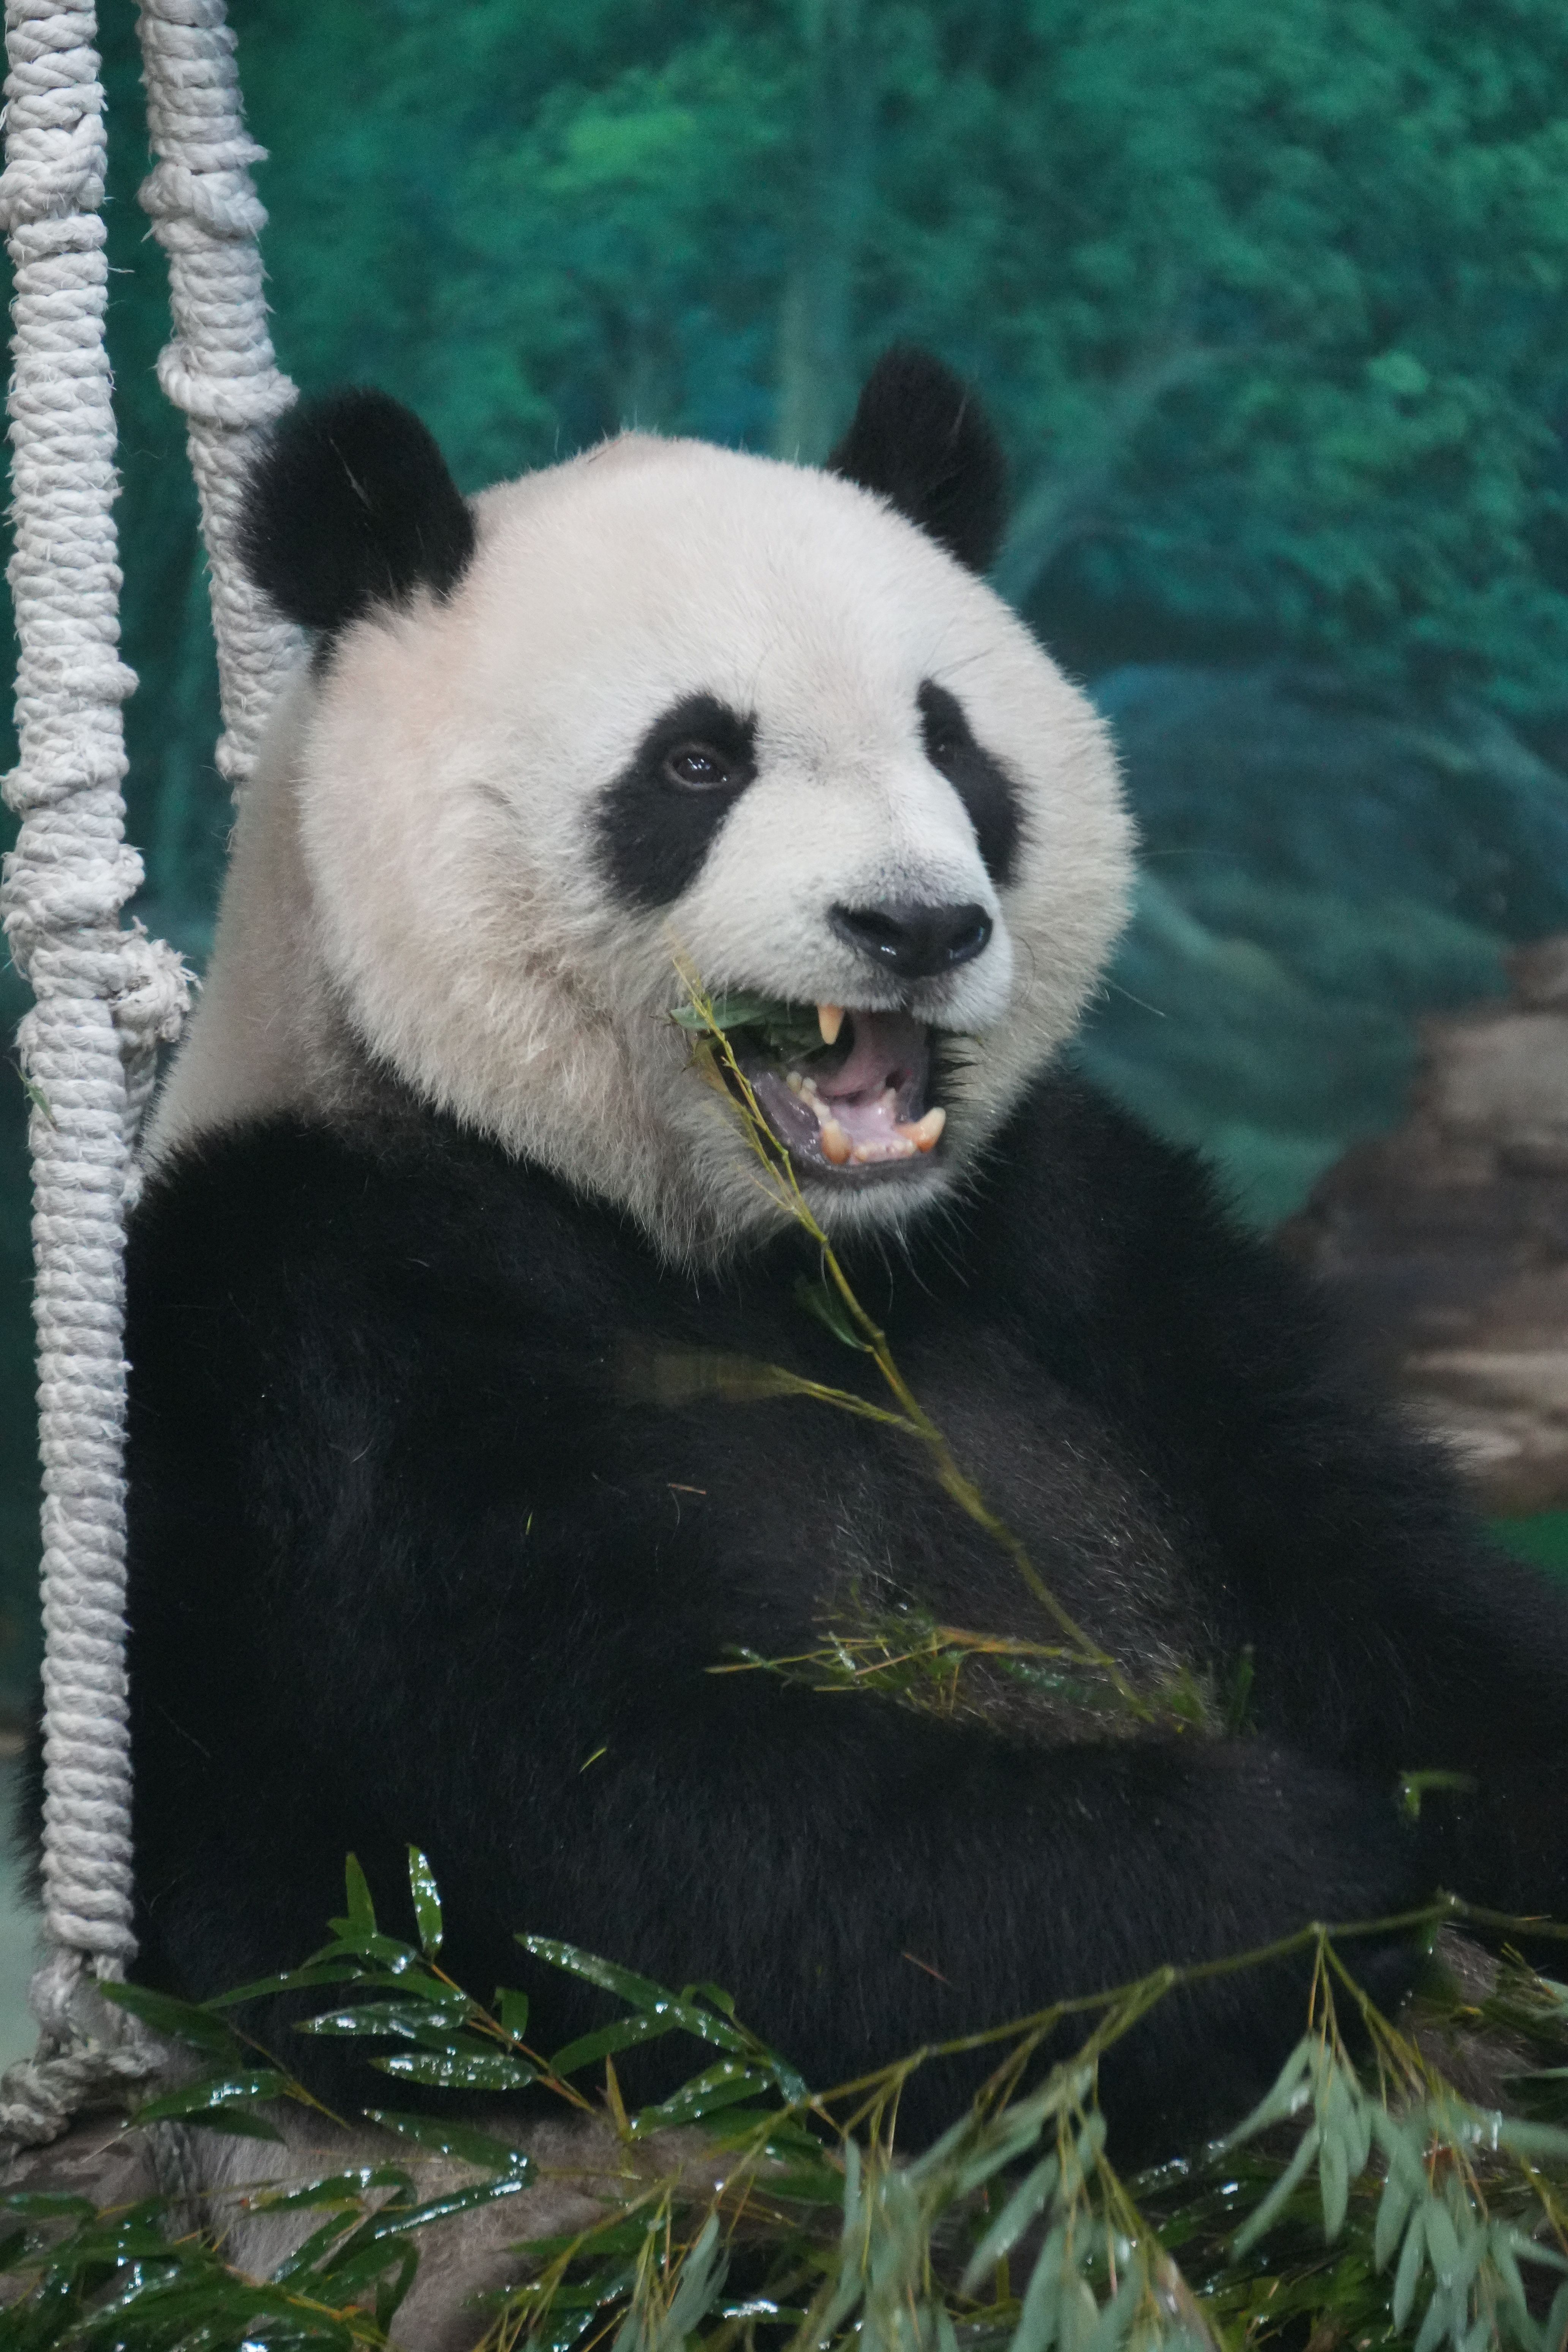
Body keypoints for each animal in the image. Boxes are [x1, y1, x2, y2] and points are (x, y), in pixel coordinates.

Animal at [122, 348, 1568, 2154]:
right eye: (693, 764)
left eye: (950, 741)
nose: (914, 923)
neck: (769, 1250)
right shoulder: (319, 1326)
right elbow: (583, 1829)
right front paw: (1299, 1878)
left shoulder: (1075, 1234)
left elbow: (1375, 1558)